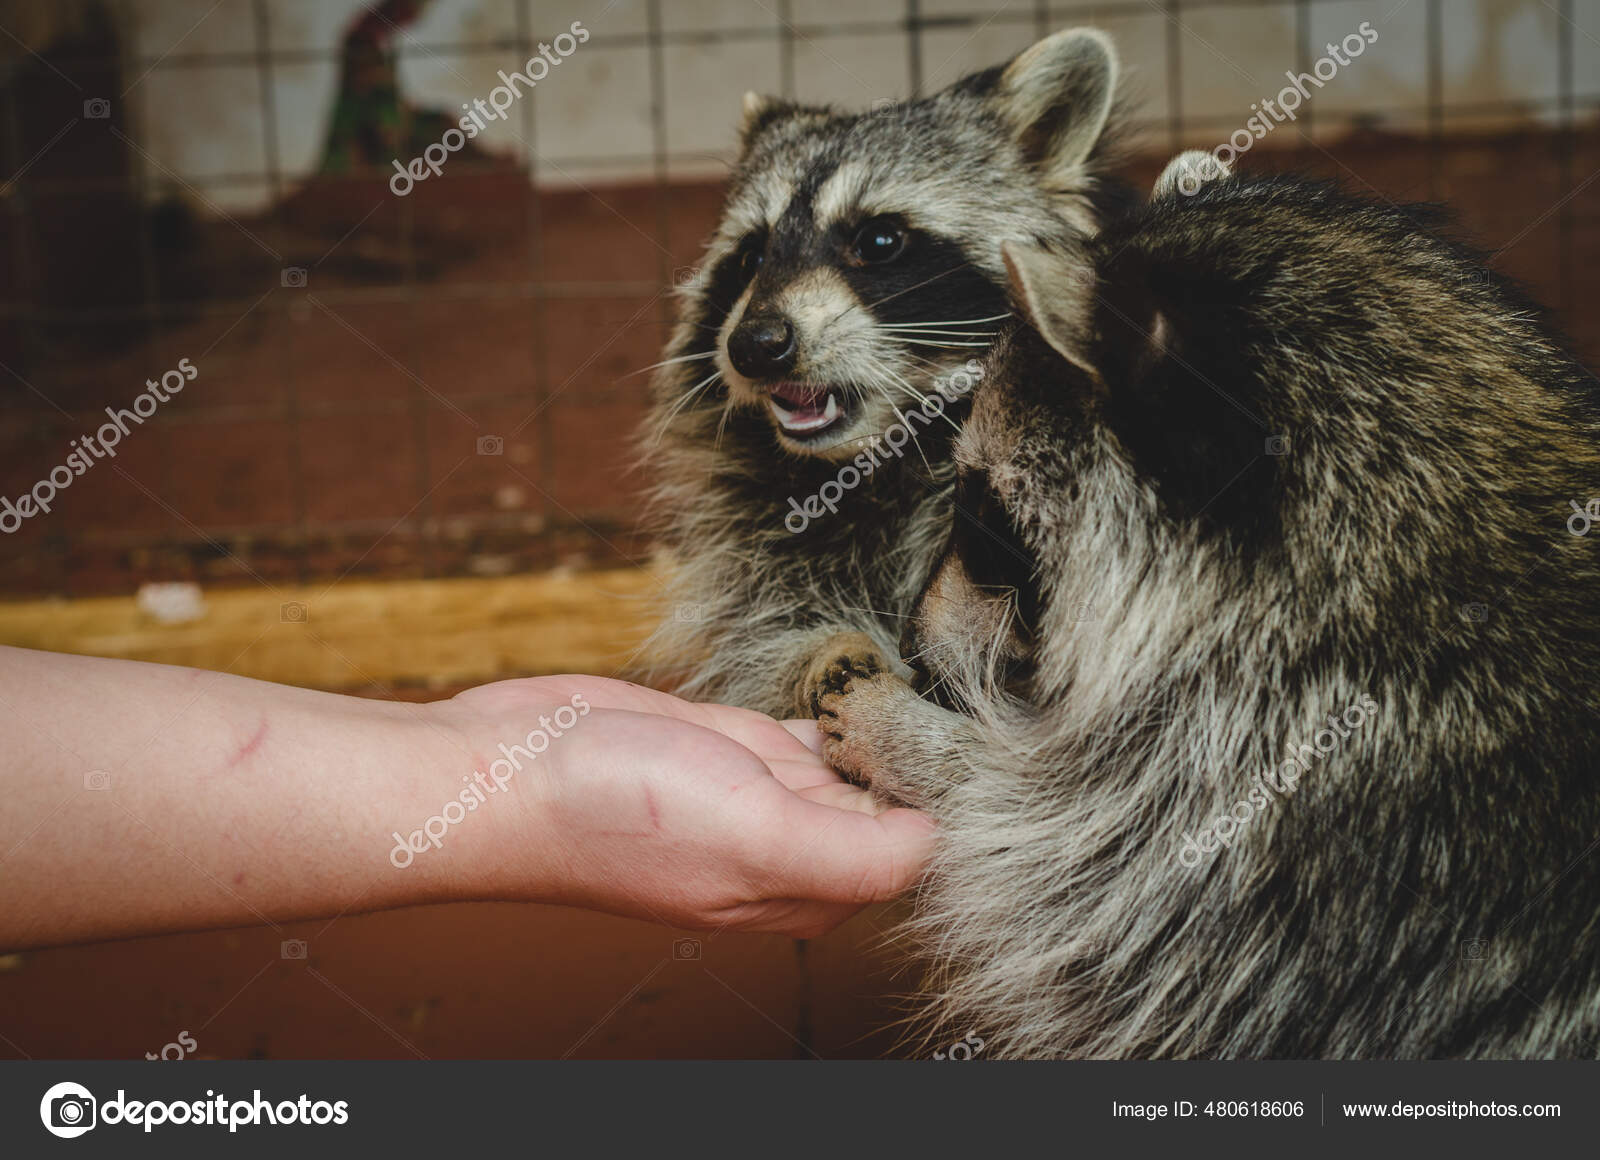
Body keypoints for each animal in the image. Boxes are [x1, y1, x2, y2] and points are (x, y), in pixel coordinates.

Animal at [640, 29, 1126, 717]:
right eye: (751, 256)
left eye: (878, 241)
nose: (755, 345)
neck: (881, 453)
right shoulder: (766, 532)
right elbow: (769, 624)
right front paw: (822, 651)